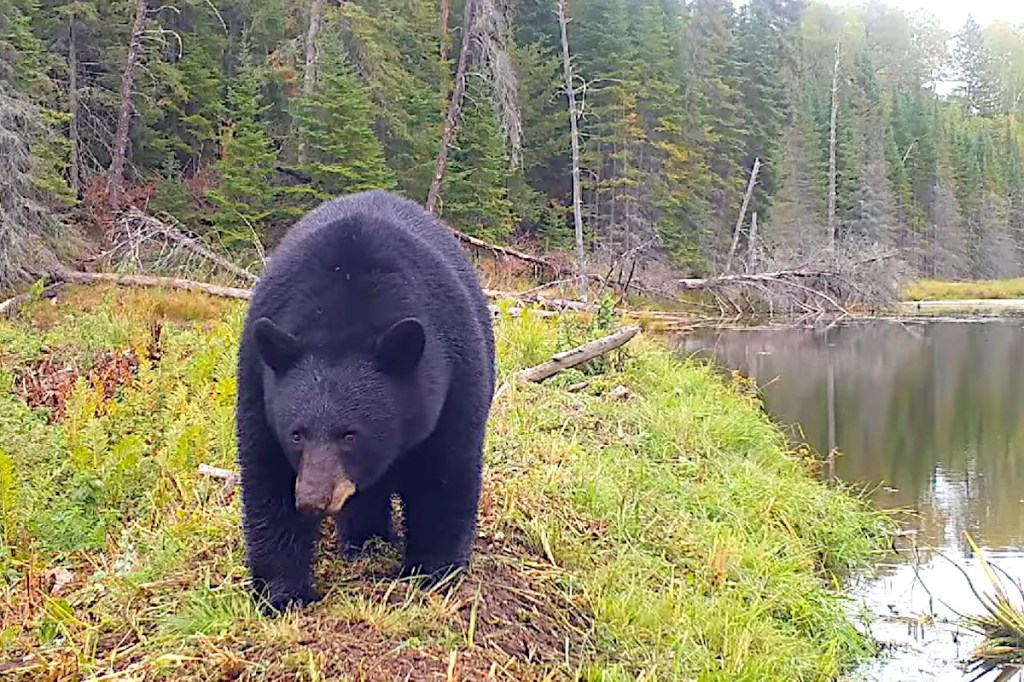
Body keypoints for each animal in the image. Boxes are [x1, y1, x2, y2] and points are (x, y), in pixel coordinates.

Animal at [234, 189, 496, 613]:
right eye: (296, 434)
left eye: (350, 434)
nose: (313, 499)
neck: (344, 312)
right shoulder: (259, 383)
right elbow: (267, 480)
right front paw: (283, 594)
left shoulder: (454, 376)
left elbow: (445, 475)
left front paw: (432, 572)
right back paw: (365, 541)